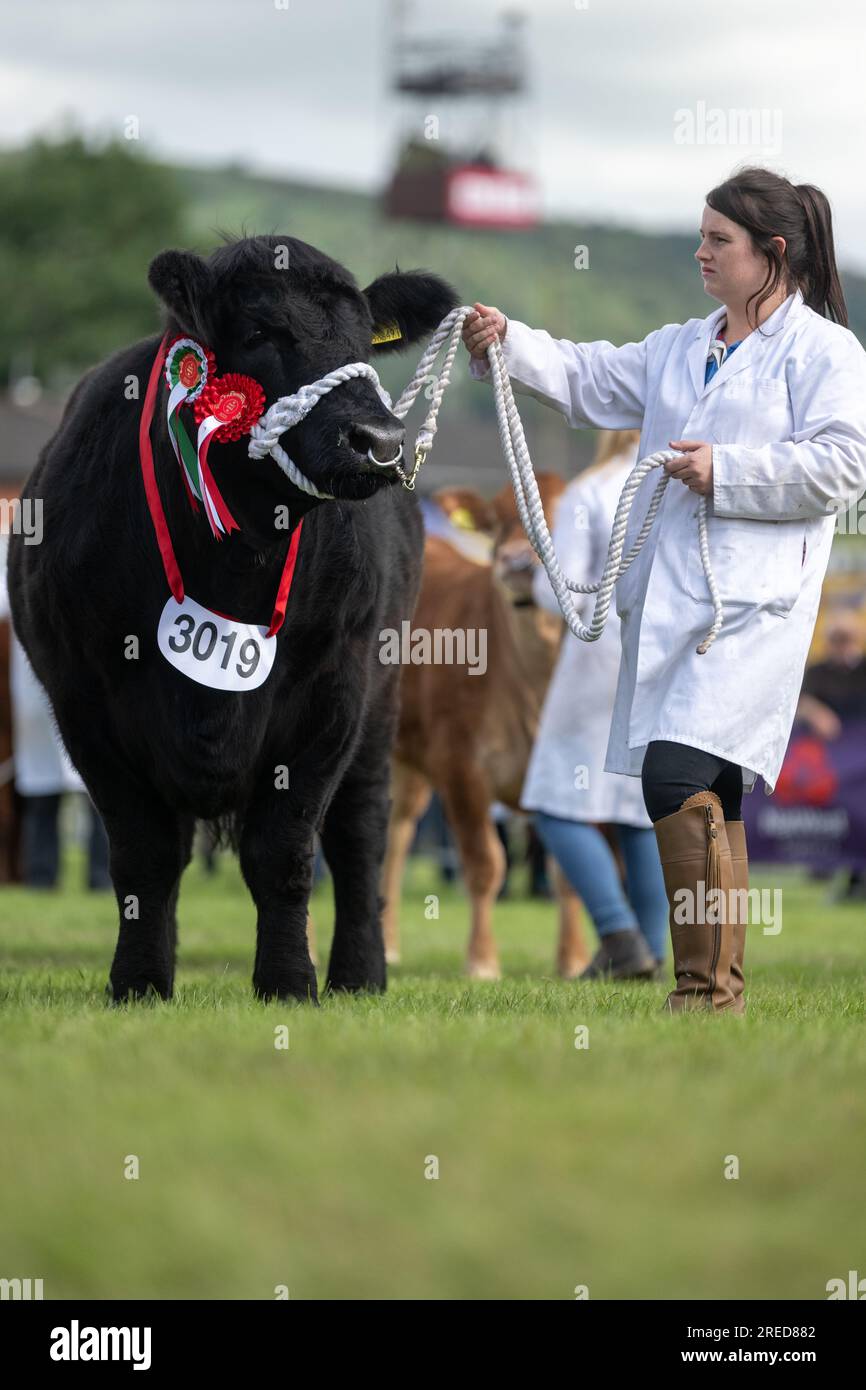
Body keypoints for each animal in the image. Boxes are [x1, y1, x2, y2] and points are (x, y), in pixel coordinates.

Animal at [7, 234, 458, 1004]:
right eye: (260, 333)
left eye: (360, 337)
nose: (379, 439)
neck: (236, 562)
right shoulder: (84, 701)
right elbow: (144, 856)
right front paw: (140, 982)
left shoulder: (332, 696)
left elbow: (284, 852)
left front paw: (289, 983)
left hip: (382, 701)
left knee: (361, 834)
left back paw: (360, 976)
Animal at [382, 475, 590, 980]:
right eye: (496, 521)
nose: (515, 561)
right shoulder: (460, 766)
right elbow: (483, 864)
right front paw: (480, 960)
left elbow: (569, 873)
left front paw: (573, 959)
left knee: (394, 835)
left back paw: (388, 943)